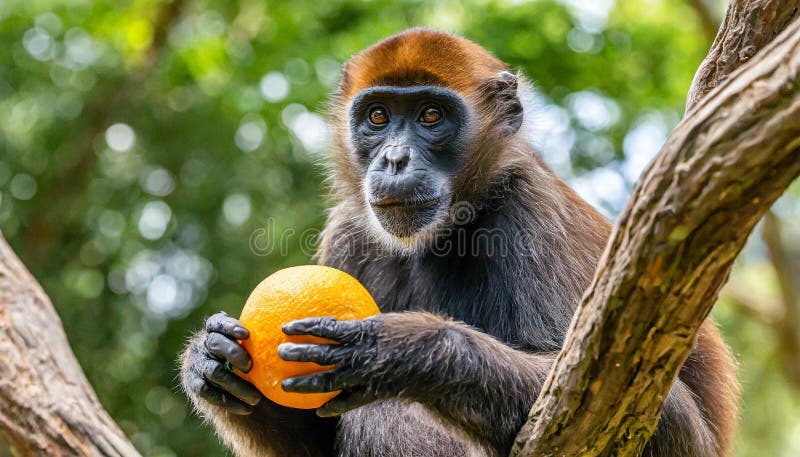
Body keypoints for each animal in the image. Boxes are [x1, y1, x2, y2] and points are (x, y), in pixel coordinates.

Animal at [181, 28, 740, 457]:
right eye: (378, 117)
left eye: (431, 116)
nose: (394, 159)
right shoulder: (349, 232)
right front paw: (212, 362)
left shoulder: (528, 208)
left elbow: (647, 408)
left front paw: (404, 351)